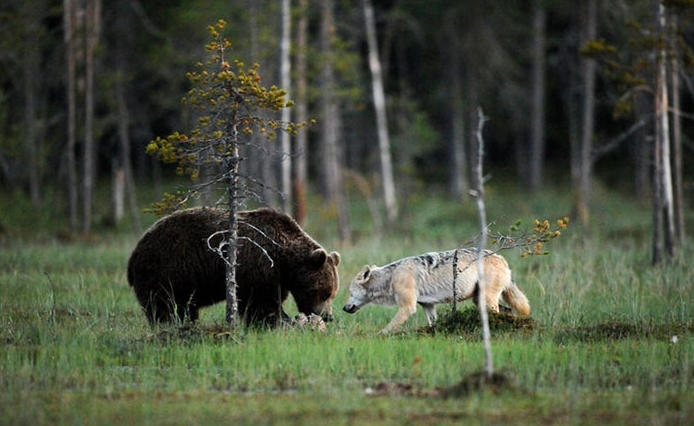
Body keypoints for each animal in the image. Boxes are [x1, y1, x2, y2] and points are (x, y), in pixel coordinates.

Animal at [342, 248, 530, 334]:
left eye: (350, 293)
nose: (344, 308)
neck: (391, 277)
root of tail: (502, 258)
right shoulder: (428, 306)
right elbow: (433, 324)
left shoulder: (408, 307)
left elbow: (389, 327)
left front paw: (379, 335)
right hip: (480, 300)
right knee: (508, 311)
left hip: (486, 300)